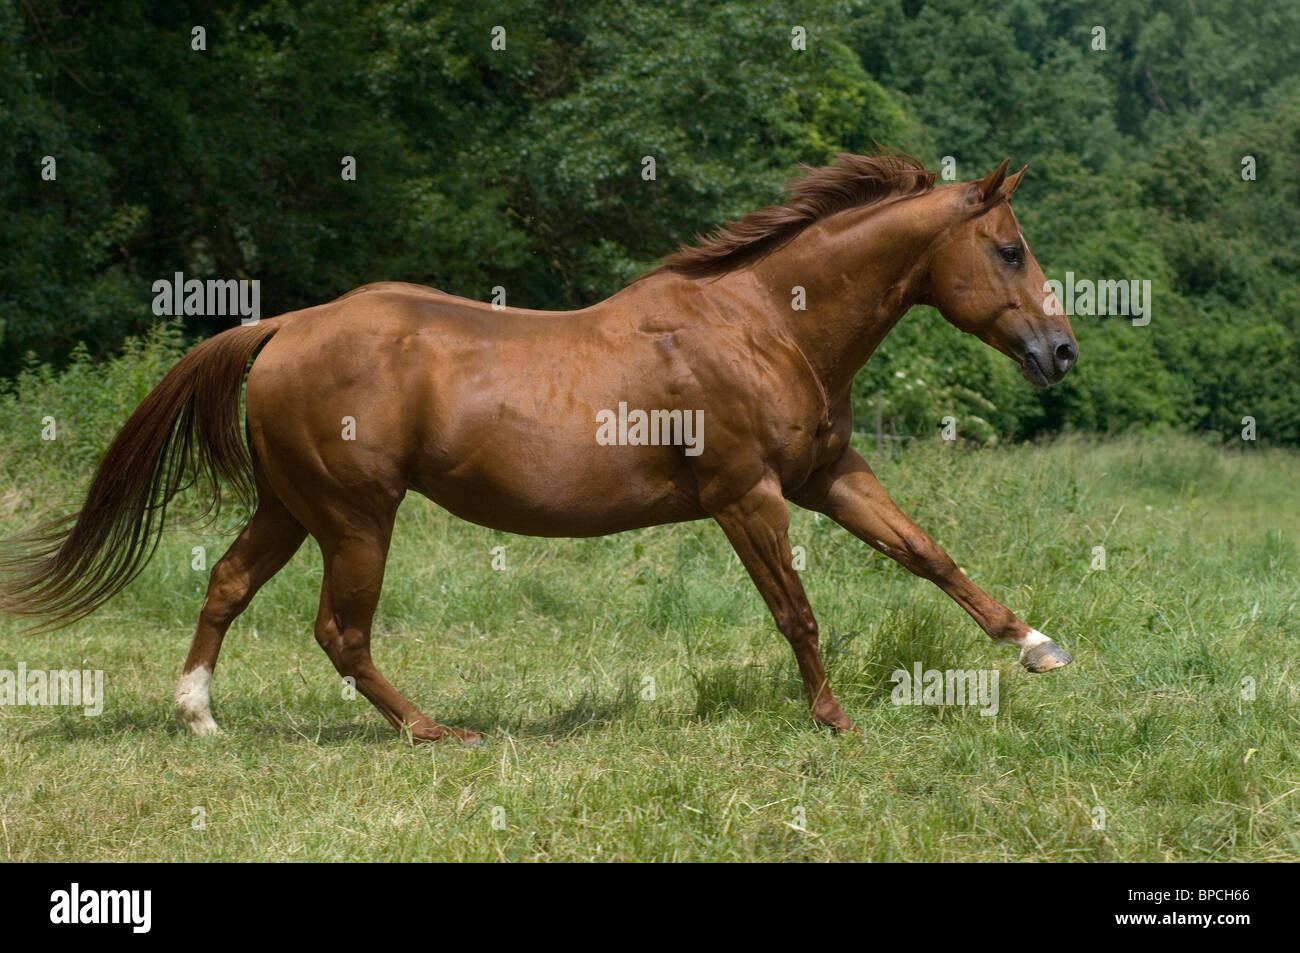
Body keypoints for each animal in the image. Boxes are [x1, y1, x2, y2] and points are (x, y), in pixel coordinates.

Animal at [0, 153, 1078, 744]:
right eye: (1009, 249)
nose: (1061, 351)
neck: (765, 320)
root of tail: (286, 325)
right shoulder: (749, 494)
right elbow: (797, 612)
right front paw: (833, 718)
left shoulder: (825, 476)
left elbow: (927, 553)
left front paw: (1036, 646)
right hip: (356, 515)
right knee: (340, 631)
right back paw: (434, 729)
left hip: (292, 505)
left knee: (226, 584)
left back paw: (200, 715)